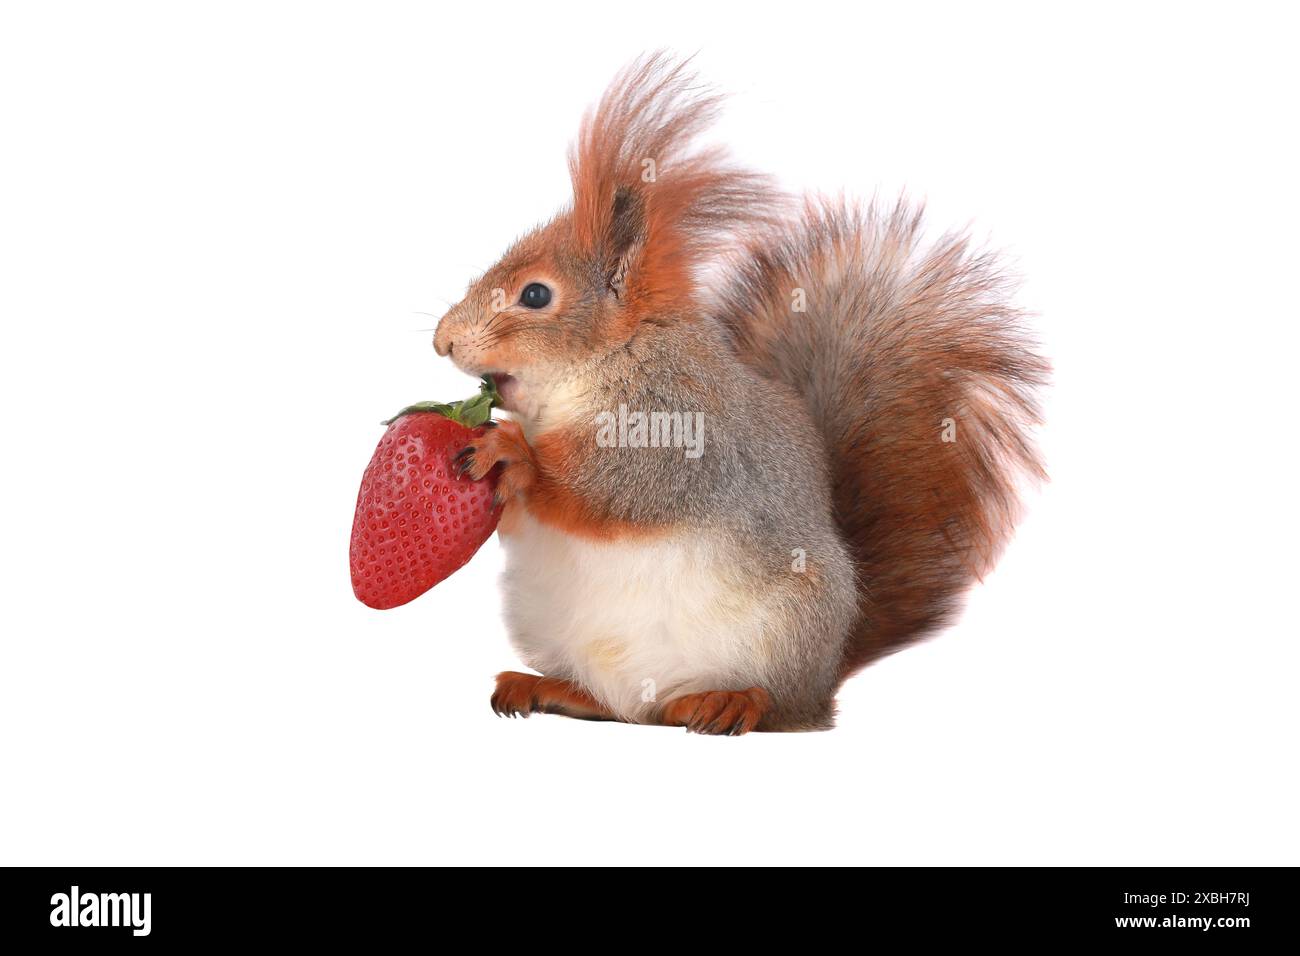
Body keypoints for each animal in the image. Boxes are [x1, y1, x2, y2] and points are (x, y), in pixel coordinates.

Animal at [434, 55, 1047, 733]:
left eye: (536, 295)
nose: (443, 341)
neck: (597, 368)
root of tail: (827, 671)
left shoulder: (673, 424)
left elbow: (612, 493)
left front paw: (515, 454)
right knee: (614, 707)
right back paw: (548, 687)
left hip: (785, 630)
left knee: (771, 705)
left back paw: (729, 700)